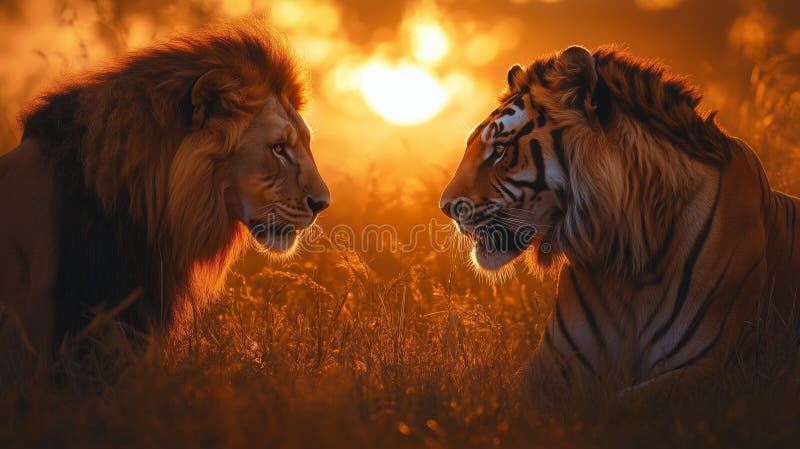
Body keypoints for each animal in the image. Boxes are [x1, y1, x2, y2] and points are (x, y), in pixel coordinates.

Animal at [440, 45, 800, 398]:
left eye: (501, 149)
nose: (446, 208)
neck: (630, 260)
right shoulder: (548, 365)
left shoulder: (712, 365)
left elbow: (619, 403)